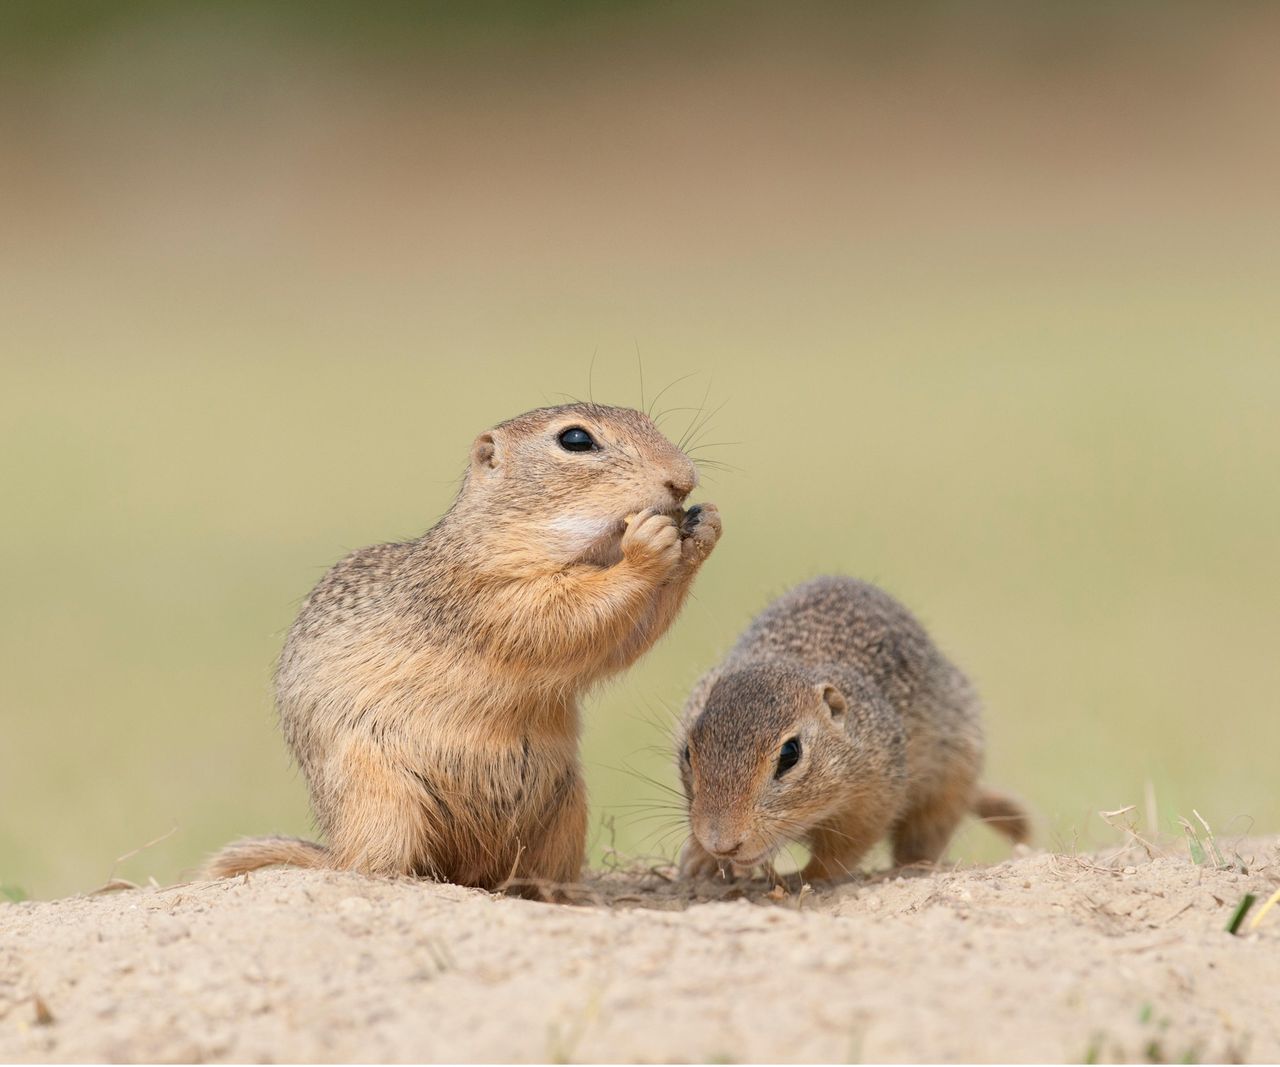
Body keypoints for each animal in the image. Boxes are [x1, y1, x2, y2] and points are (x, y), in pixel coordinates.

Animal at [206, 403, 722, 890]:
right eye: (576, 439)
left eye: (645, 420)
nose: (684, 478)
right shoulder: (488, 593)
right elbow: (561, 618)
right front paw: (649, 543)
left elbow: (624, 637)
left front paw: (704, 526)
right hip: (382, 798)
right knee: (368, 864)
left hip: (566, 815)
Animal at [676, 576, 1028, 883]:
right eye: (687, 753)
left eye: (790, 754)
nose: (722, 843)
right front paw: (699, 860)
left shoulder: (874, 795)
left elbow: (844, 850)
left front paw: (804, 877)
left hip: (952, 780)